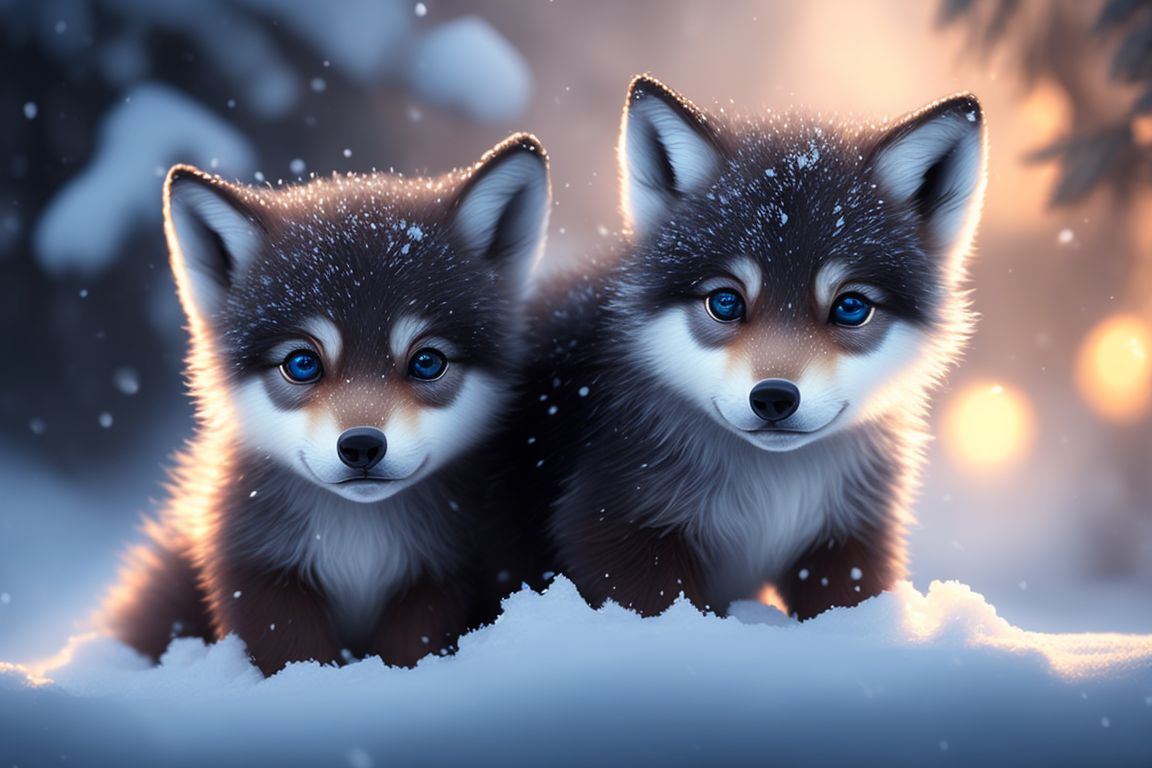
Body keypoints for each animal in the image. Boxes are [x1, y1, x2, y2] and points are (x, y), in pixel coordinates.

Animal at [102, 134, 550, 675]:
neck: (358, 548)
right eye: (302, 364)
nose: (361, 446)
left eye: (427, 362)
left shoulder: (437, 578)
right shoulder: (260, 576)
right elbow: (295, 657)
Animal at [508, 75, 987, 620]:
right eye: (725, 302)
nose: (774, 397)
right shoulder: (614, 526)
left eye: (850, 307)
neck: (771, 498)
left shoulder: (848, 541)